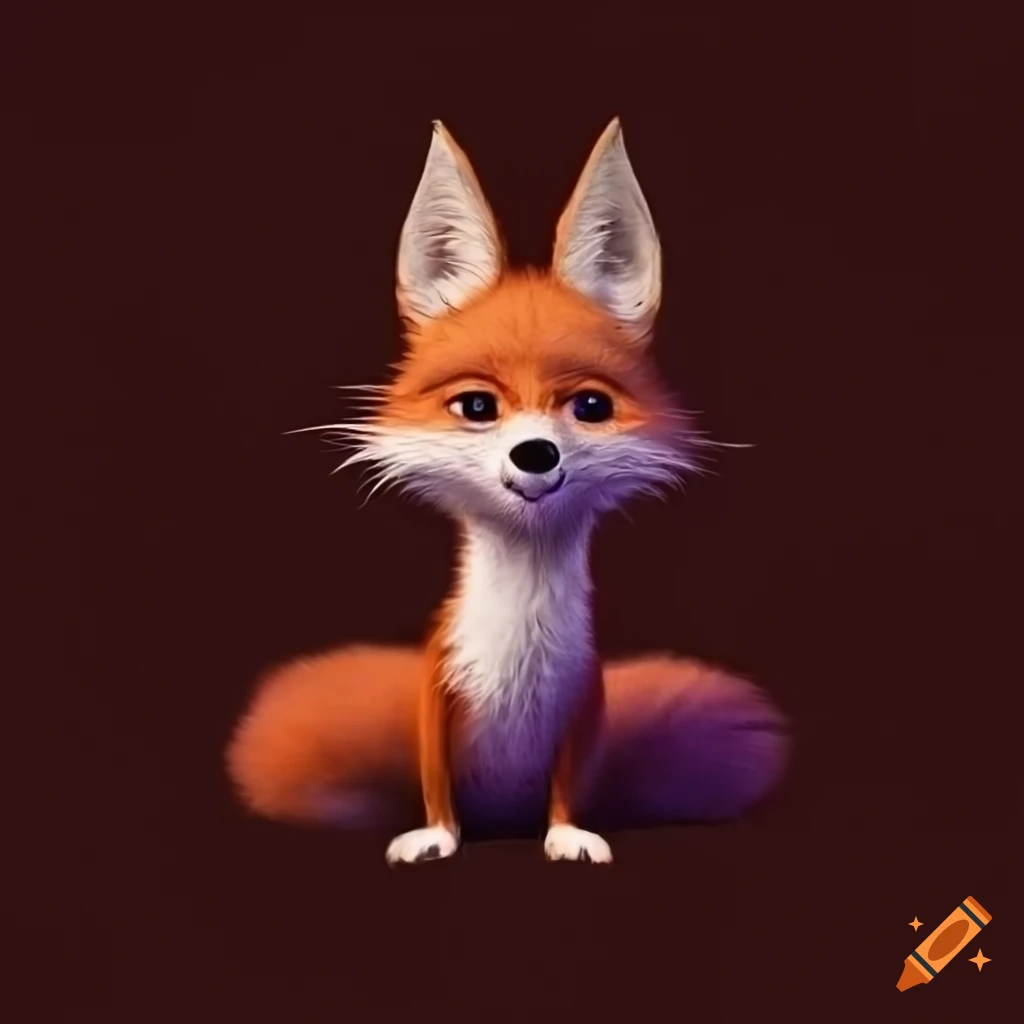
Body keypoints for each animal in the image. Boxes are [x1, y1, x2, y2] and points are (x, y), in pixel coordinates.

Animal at [225, 118, 791, 865]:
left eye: (589, 406)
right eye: (476, 407)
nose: (535, 453)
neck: (519, 660)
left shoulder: (580, 706)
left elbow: (565, 790)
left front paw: (567, 837)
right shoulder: (437, 697)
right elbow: (436, 789)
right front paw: (436, 838)